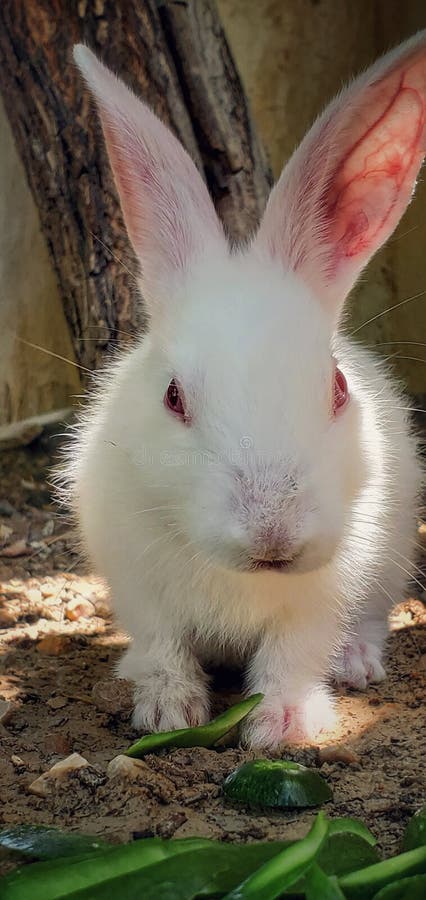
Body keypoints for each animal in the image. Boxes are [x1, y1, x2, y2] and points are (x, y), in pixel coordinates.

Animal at [64, 33, 426, 750]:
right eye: (174, 397)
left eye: (337, 387)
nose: (273, 536)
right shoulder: (137, 584)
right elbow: (164, 645)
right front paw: (167, 710)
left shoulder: (321, 597)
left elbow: (293, 655)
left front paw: (281, 727)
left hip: (393, 554)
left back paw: (358, 662)